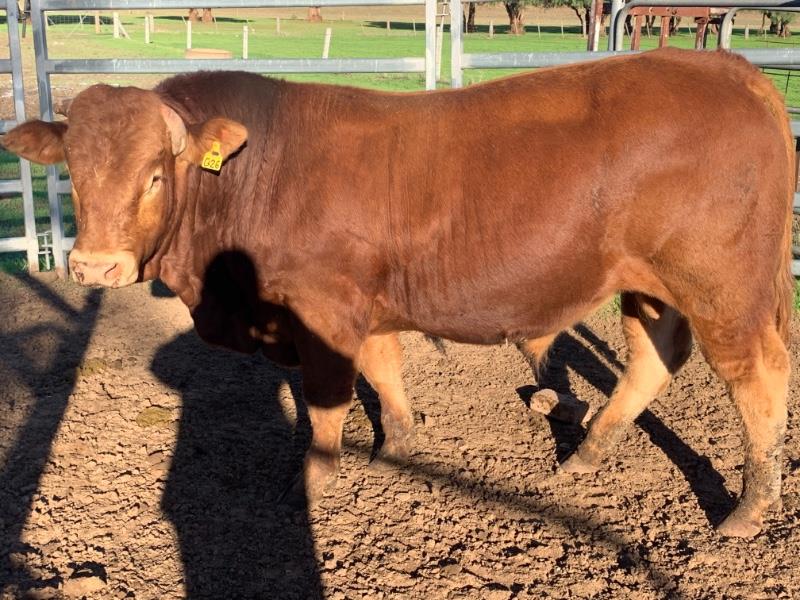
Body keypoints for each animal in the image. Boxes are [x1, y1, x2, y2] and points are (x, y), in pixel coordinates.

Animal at [2, 47, 793, 538]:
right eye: (73, 172)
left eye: (155, 175)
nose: (94, 268)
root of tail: (728, 69)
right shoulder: (367, 307)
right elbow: (384, 370)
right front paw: (400, 443)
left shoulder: (321, 311)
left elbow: (328, 401)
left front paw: (313, 480)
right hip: (647, 285)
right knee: (655, 356)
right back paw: (588, 453)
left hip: (722, 284)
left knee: (759, 376)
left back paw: (749, 508)